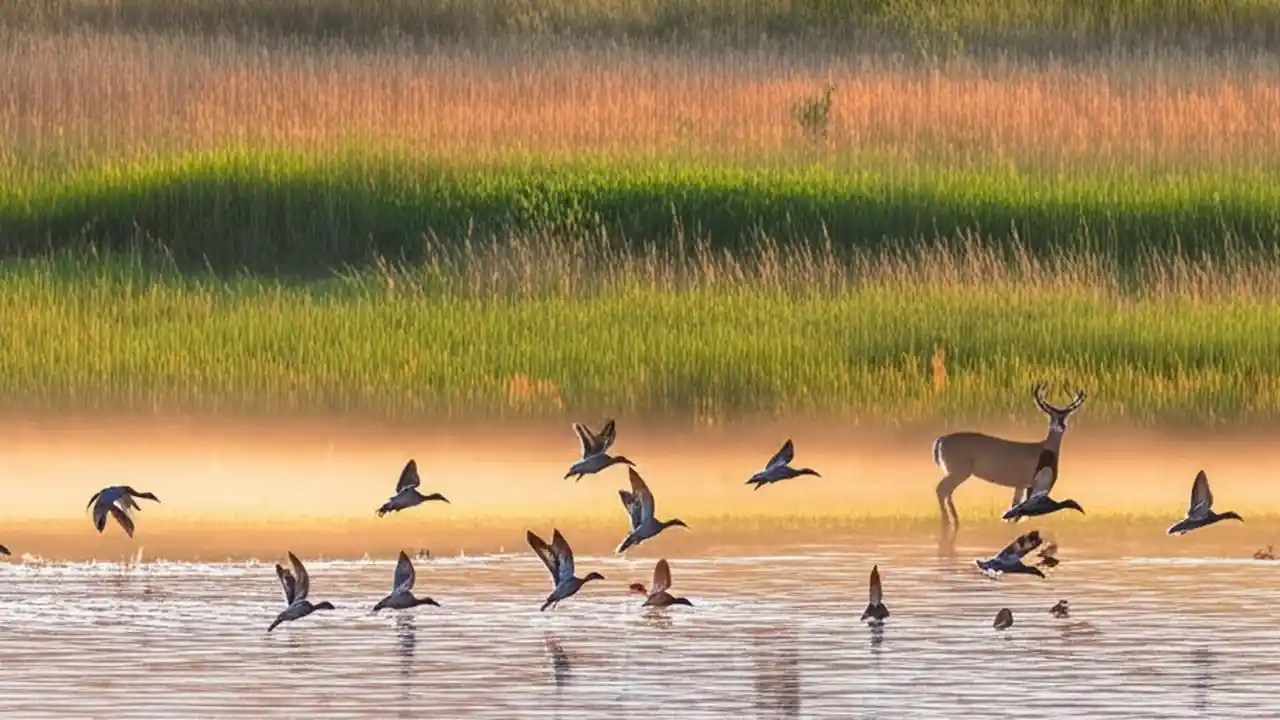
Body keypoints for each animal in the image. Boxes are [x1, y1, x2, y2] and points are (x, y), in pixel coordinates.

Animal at [931, 384, 1086, 531]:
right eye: (1050, 416)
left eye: (1066, 415)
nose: (1061, 426)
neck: (1044, 451)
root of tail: (940, 440)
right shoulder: (1033, 484)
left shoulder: (1021, 484)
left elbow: (1015, 506)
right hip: (959, 470)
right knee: (941, 489)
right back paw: (948, 521)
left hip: (955, 471)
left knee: (946, 491)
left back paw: (954, 520)